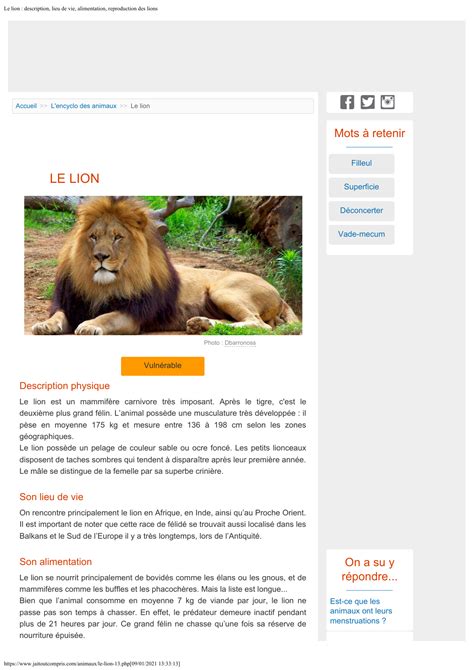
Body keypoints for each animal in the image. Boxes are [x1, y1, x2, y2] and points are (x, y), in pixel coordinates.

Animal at [31, 196, 300, 336]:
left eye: (118, 237)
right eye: (93, 237)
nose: (100, 257)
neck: (101, 285)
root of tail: (280, 295)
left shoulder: (133, 315)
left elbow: (107, 316)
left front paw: (90, 325)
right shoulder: (72, 302)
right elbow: (58, 314)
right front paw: (45, 324)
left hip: (224, 291)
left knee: (259, 324)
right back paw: (200, 324)